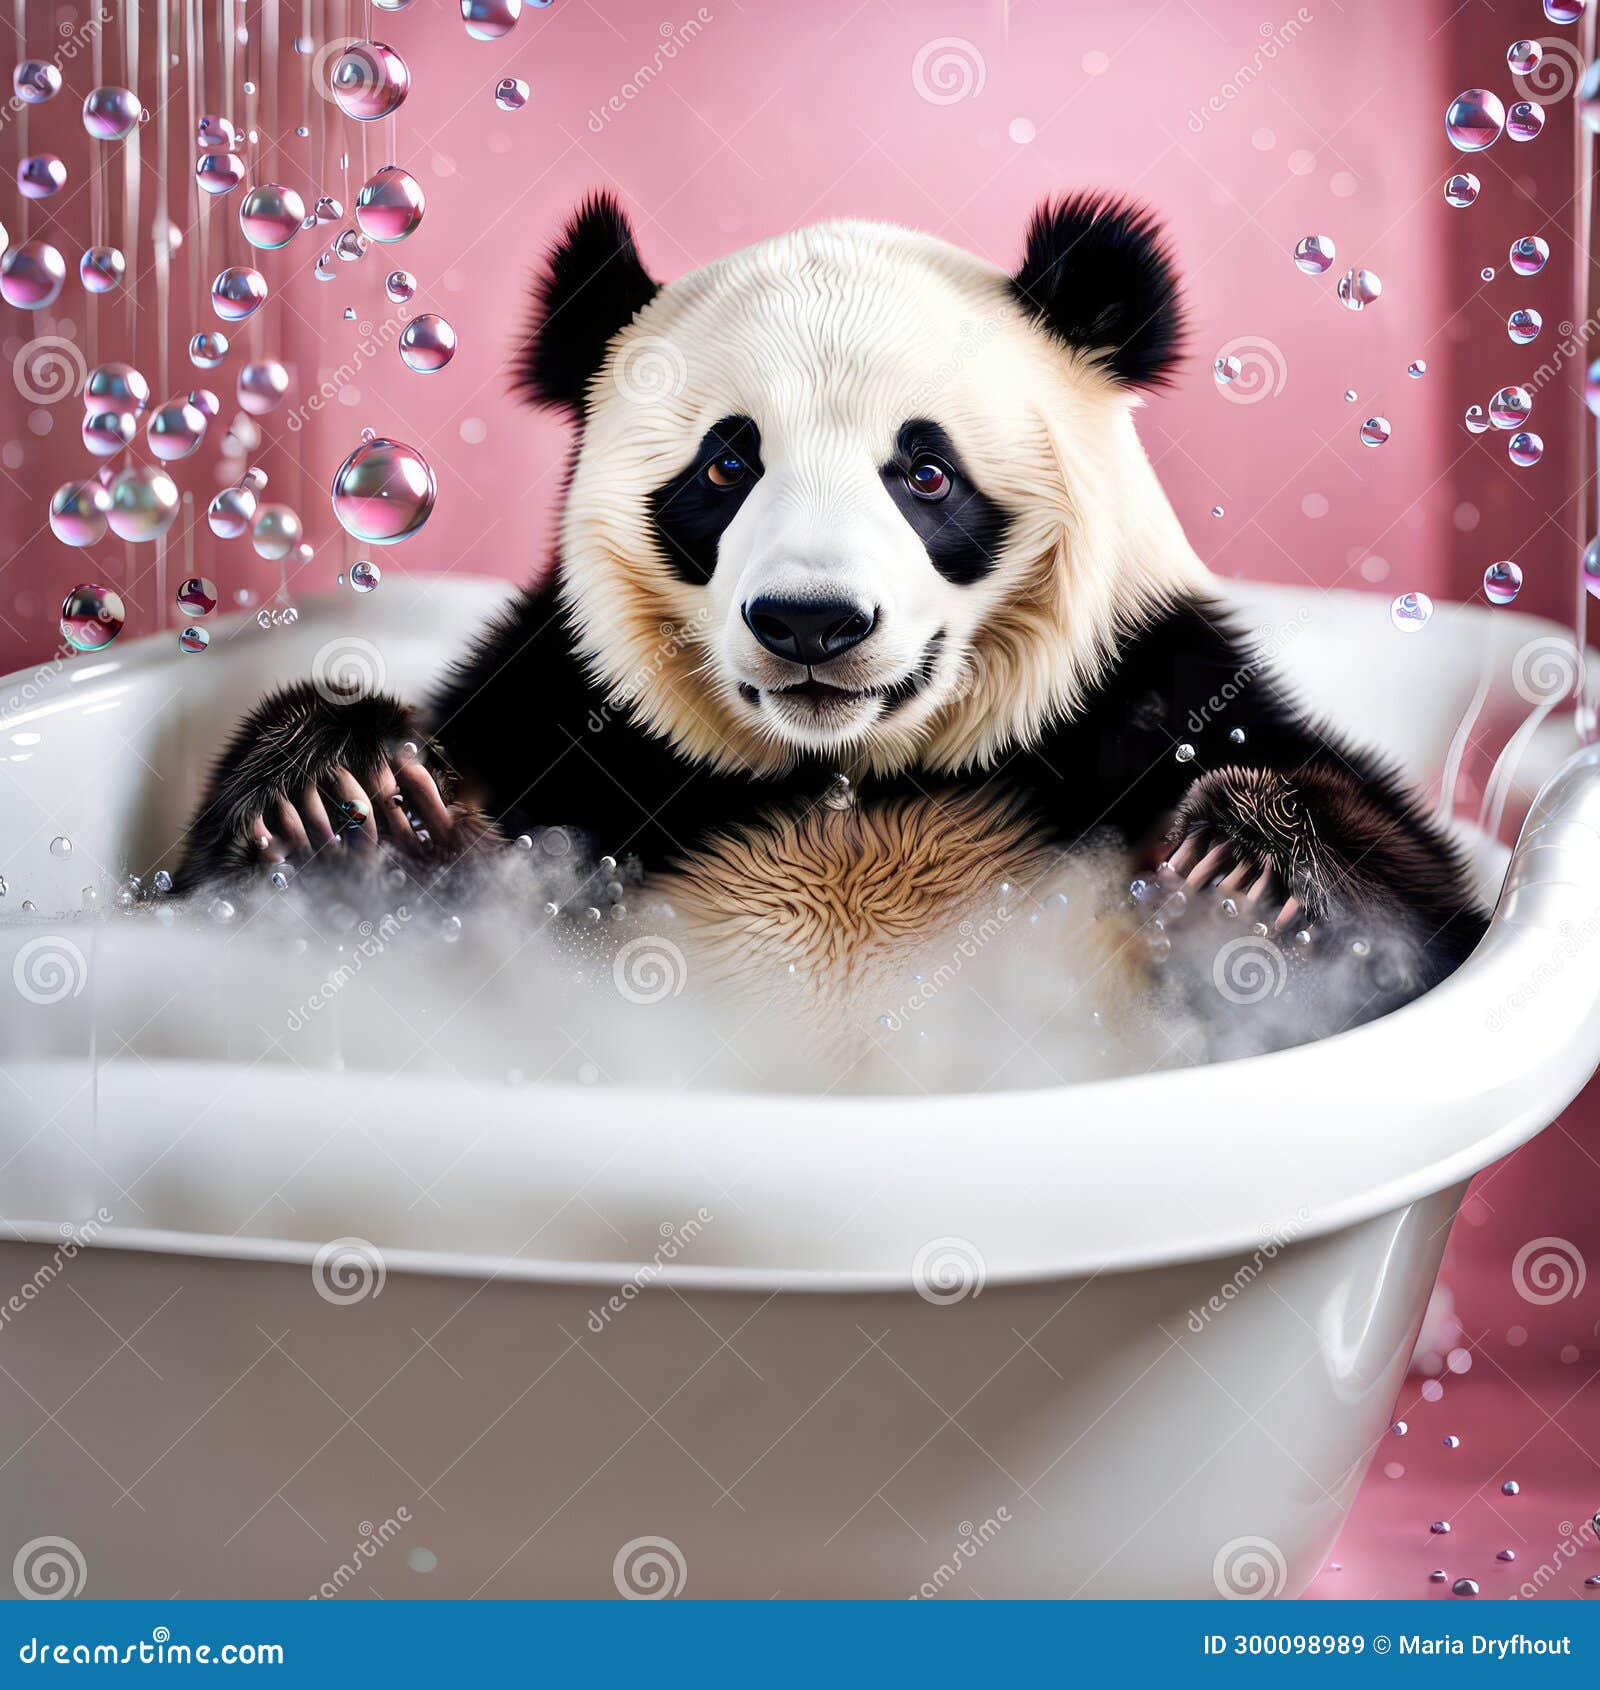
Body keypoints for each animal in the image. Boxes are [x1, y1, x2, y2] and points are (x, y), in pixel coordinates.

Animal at [177, 190, 1486, 1055]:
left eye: (926, 473)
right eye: (725, 465)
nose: (810, 622)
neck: (847, 790)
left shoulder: (1149, 690)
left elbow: (1425, 939)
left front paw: (1251, 876)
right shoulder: (563, 723)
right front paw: (345, 800)